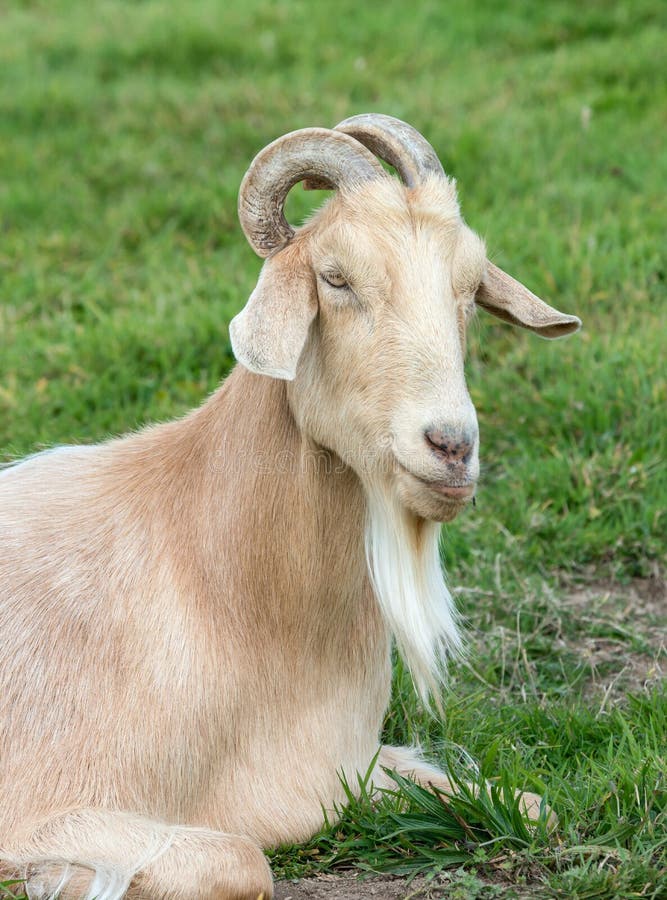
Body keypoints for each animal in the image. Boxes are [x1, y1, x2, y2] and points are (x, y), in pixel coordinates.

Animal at [0, 114, 581, 899]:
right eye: (335, 278)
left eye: (468, 286)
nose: (451, 445)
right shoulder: (47, 799)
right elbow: (241, 862)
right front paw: (57, 875)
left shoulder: (348, 769)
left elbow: (533, 807)